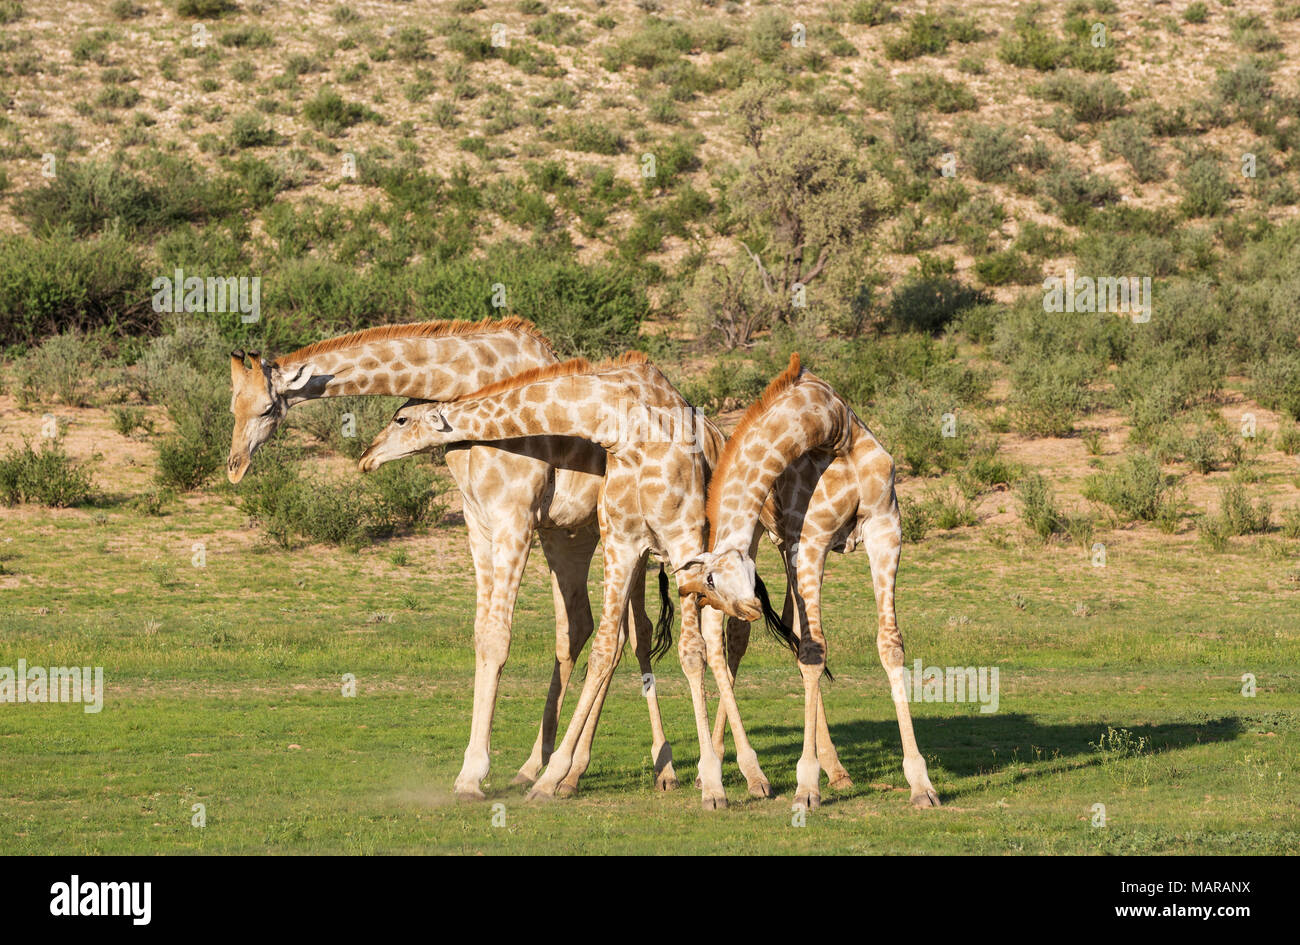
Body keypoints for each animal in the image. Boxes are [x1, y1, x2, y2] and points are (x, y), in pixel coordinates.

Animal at [225, 318, 681, 798]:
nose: (234, 467)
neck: (471, 379)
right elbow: (483, 635)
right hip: (574, 535)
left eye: (266, 411)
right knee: (586, 629)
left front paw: (472, 775)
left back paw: (657, 770)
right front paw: (481, 769)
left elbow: (499, 637)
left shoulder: (514, 517)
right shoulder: (479, 522)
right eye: (232, 406)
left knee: (635, 635)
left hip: (626, 537)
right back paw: (551, 771)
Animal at [358, 352, 781, 808]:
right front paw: (551, 776)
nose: (366, 456)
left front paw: (715, 785)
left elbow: (689, 652)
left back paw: (745, 774)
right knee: (659, 635)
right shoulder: (623, 541)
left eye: (400, 418)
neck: (621, 422)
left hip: (732, 548)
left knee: (722, 641)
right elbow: (604, 648)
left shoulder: (680, 536)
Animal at [681, 353, 941, 811]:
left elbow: (888, 644)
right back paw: (722, 777)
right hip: (767, 539)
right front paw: (806, 787)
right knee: (721, 641)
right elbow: (813, 651)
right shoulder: (810, 540)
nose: (695, 592)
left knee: (758, 640)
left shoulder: (885, 525)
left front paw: (921, 783)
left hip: (783, 550)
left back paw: (835, 771)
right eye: (709, 581)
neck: (830, 426)